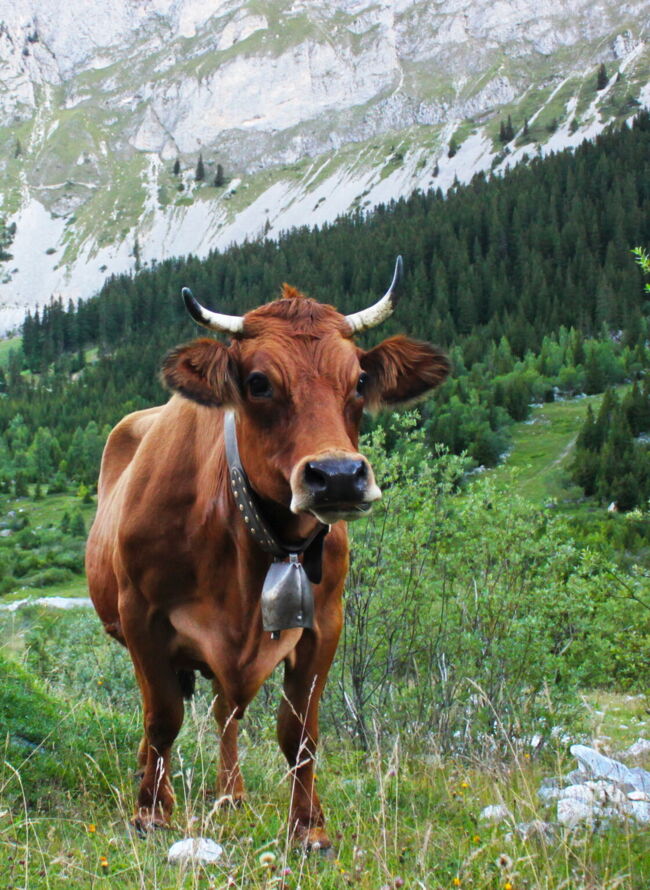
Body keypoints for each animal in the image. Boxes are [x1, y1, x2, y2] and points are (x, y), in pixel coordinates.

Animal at [85, 257, 449, 848]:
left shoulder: (326, 623)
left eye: (360, 380)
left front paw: (309, 828)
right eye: (258, 383)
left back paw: (230, 792)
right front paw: (151, 812)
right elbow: (162, 717)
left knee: (224, 711)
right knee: (164, 709)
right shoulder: (142, 618)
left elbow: (298, 732)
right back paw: (154, 781)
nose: (338, 476)